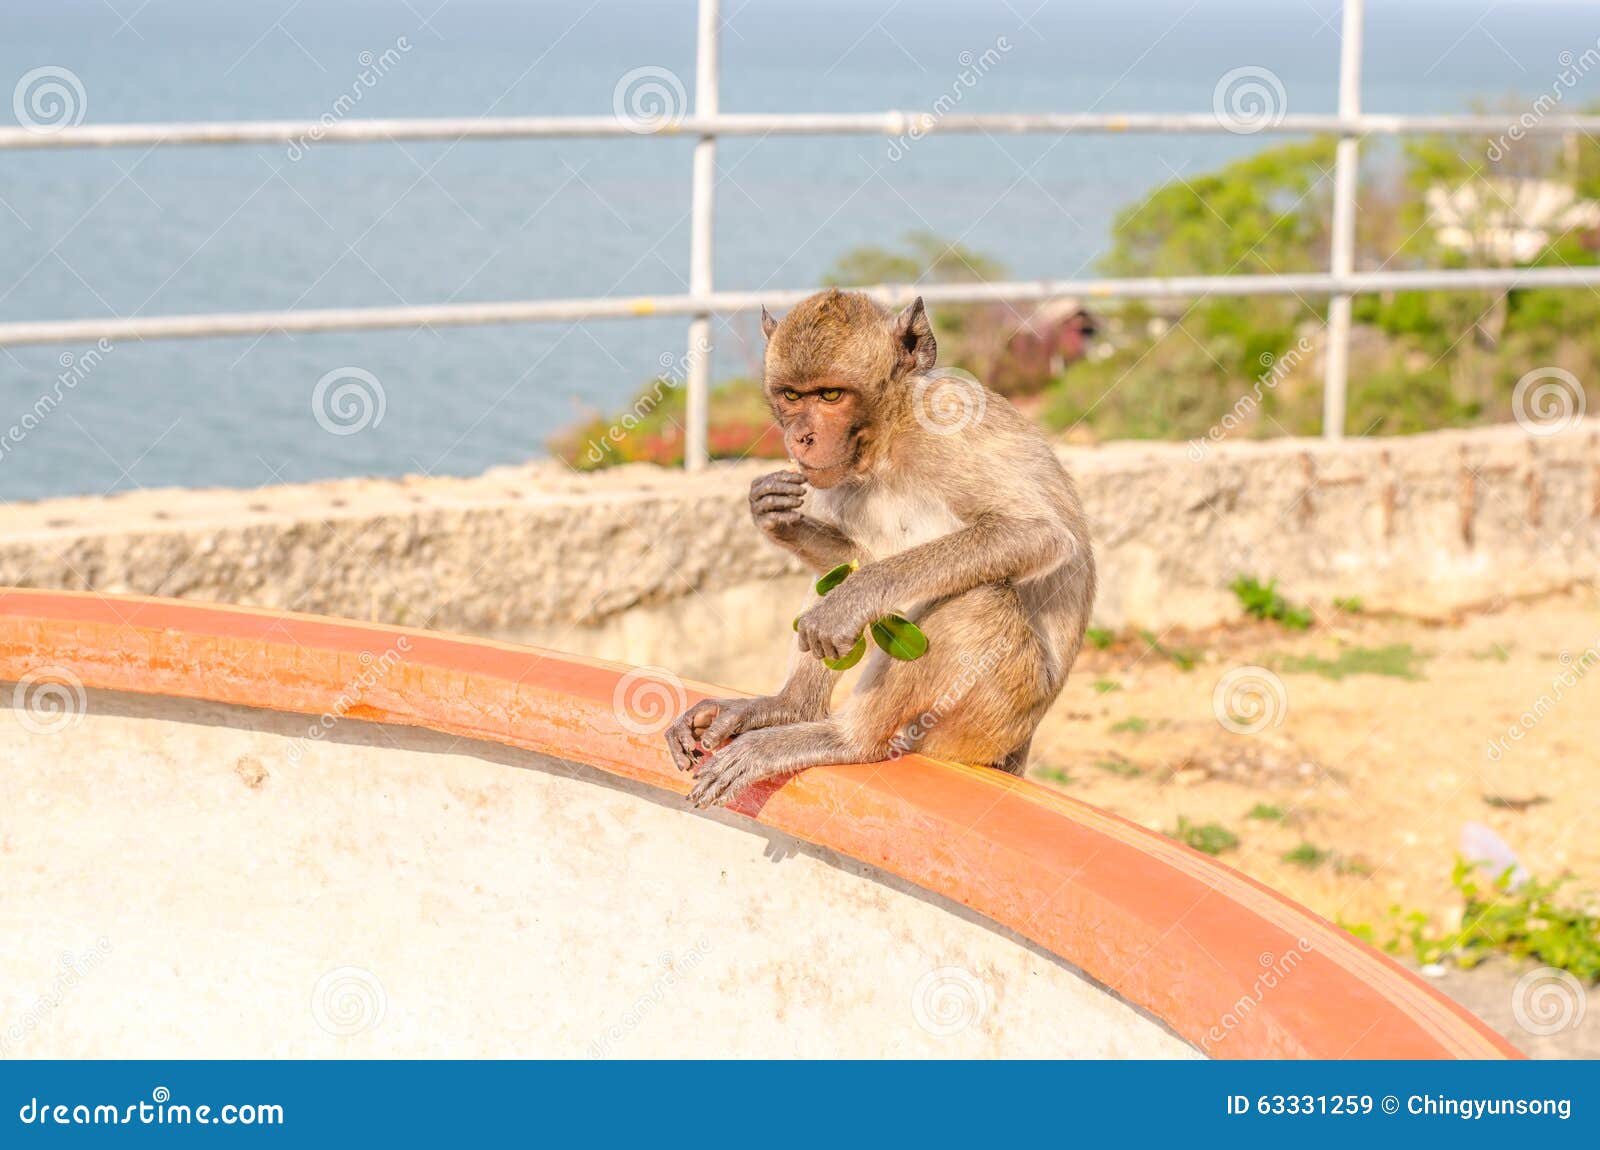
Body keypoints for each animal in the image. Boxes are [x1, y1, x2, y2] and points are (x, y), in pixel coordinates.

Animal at [665, 288, 1095, 809]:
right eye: (792, 396)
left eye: (831, 395)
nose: (801, 437)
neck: (890, 436)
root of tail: (1016, 749)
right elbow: (851, 560)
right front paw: (773, 515)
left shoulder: (948, 430)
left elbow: (1037, 532)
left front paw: (851, 600)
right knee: (839, 579)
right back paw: (790, 708)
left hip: (991, 718)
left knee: (978, 597)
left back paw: (846, 739)